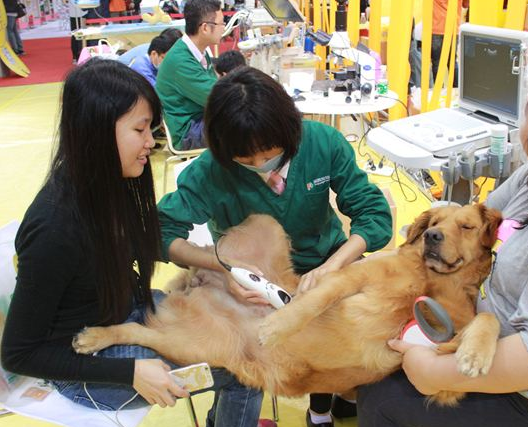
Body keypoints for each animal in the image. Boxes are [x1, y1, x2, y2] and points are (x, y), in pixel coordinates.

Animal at [72, 206, 502, 406]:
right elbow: (312, 300)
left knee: (143, 326)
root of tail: (207, 288)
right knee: (201, 260)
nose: (431, 237)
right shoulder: (350, 279)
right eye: (435, 221)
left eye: (465, 226)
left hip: (198, 345)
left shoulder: (436, 370)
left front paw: (476, 356)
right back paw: (94, 336)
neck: (431, 280)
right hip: (264, 225)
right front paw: (279, 324)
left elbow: (486, 320)